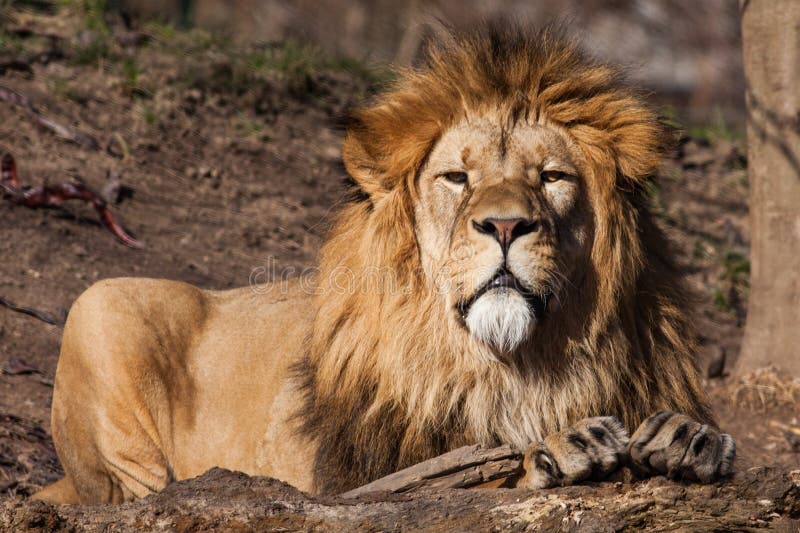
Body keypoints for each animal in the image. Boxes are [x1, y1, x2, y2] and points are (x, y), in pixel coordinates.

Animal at [33, 25, 734, 504]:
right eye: (457, 178)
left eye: (553, 177)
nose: (506, 225)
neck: (513, 367)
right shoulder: (358, 480)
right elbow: (467, 472)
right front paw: (561, 449)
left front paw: (689, 440)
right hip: (100, 302)